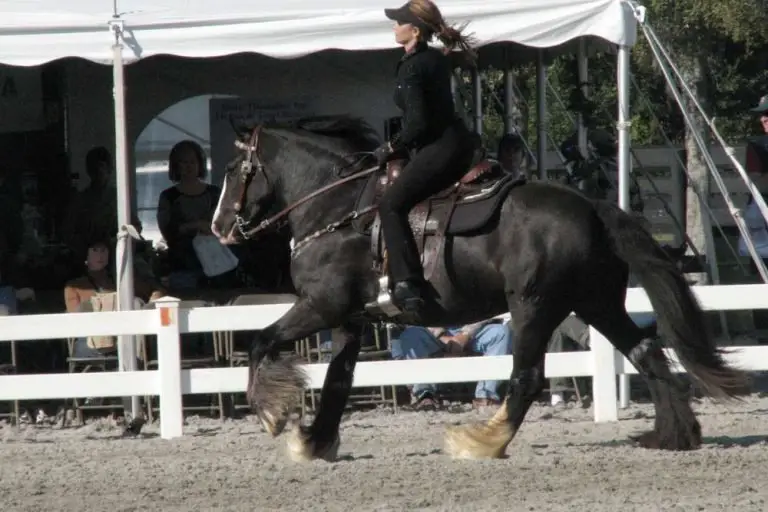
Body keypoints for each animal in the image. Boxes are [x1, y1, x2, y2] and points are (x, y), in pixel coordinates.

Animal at [210, 115, 749, 461]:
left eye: (235, 170)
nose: (218, 226)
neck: (339, 208)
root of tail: (594, 207)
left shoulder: (321, 306)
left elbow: (261, 342)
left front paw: (273, 415)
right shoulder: (348, 321)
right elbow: (338, 382)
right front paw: (316, 441)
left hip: (535, 307)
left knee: (527, 377)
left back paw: (481, 442)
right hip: (595, 304)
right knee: (646, 352)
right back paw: (673, 436)